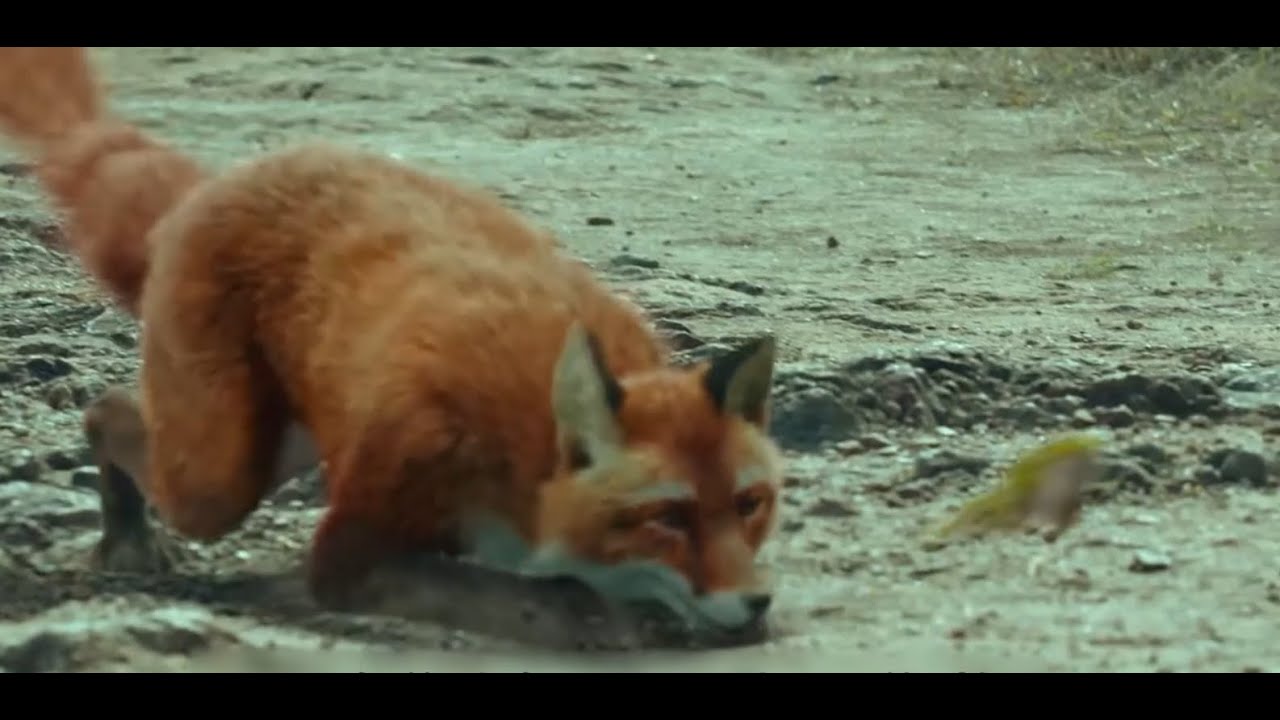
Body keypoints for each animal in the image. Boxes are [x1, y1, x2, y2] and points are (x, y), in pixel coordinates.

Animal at [0, 47, 784, 645]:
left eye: (749, 504)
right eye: (669, 517)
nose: (758, 605)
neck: (523, 459)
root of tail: (221, 181)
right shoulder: (360, 539)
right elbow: (532, 596)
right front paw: (596, 614)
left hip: (293, 442)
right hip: (221, 479)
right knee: (109, 413)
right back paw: (125, 534)